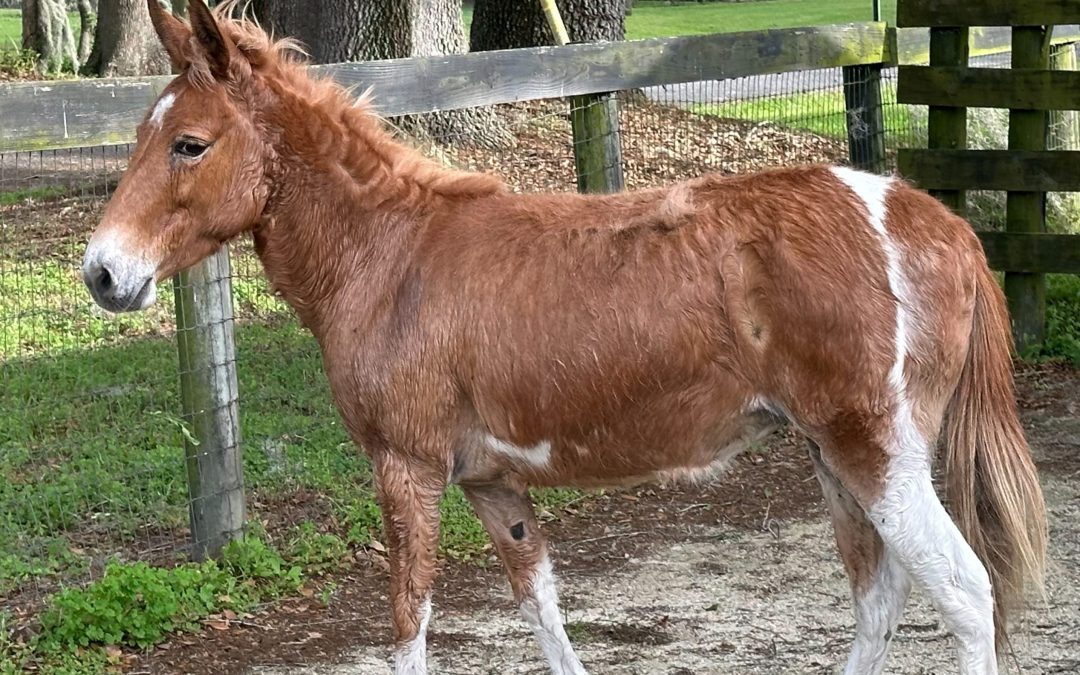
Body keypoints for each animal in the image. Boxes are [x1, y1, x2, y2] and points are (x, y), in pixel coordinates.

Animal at [81, 2, 1046, 673]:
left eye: (189, 143)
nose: (102, 272)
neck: (392, 256)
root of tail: (933, 220)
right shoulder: (493, 484)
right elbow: (543, 611)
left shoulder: (407, 468)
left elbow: (408, 625)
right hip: (831, 454)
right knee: (879, 597)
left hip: (874, 451)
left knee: (963, 593)